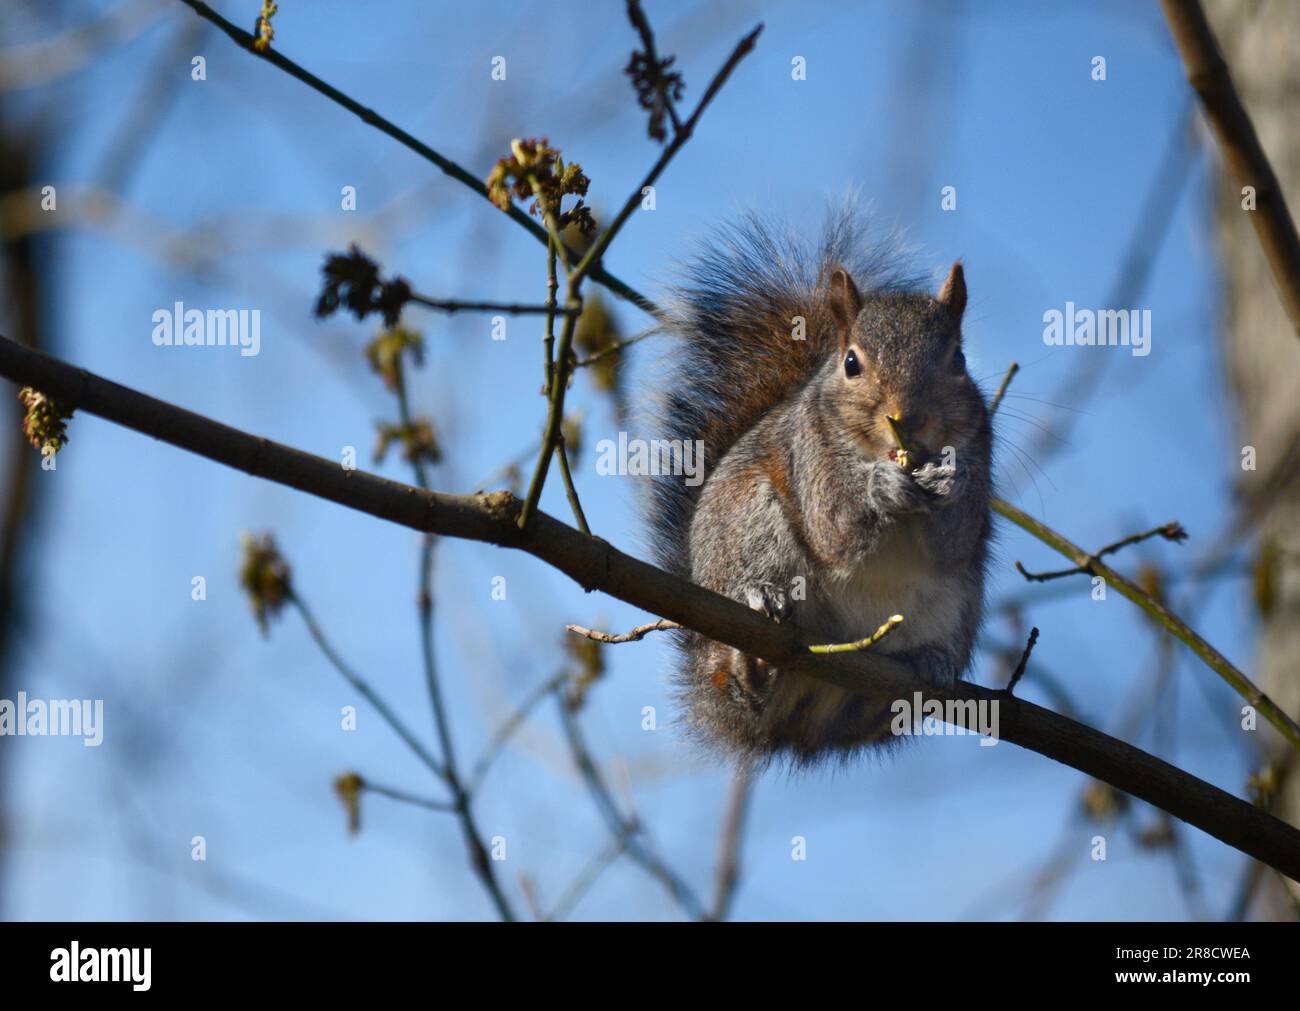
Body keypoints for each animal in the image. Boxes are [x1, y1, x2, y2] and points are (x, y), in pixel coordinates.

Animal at [647, 210, 992, 765]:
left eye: (958, 361)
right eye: (851, 363)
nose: (907, 418)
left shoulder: (982, 445)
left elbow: (955, 541)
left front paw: (949, 476)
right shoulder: (810, 452)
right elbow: (835, 529)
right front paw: (881, 488)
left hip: (958, 602)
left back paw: (928, 662)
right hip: (751, 528)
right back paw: (755, 645)